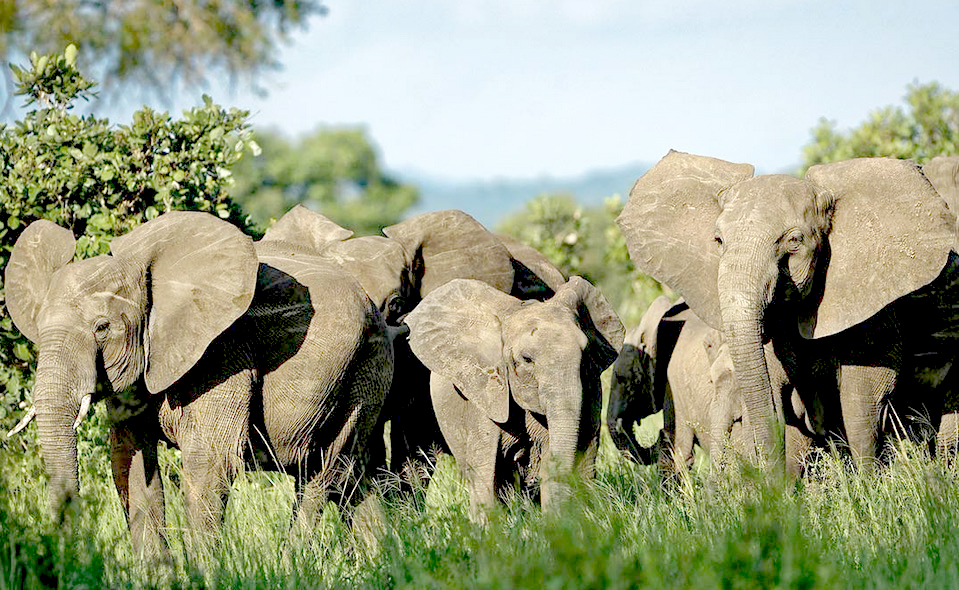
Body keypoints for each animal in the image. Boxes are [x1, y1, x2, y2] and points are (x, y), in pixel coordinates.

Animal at [4, 212, 393, 557]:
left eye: (102, 327)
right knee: (357, 478)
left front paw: (204, 574)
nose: (69, 556)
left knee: (324, 471)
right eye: (38, 326)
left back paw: (293, 565)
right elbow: (131, 459)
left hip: (366, 367)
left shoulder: (225, 349)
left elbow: (209, 461)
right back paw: (384, 561)